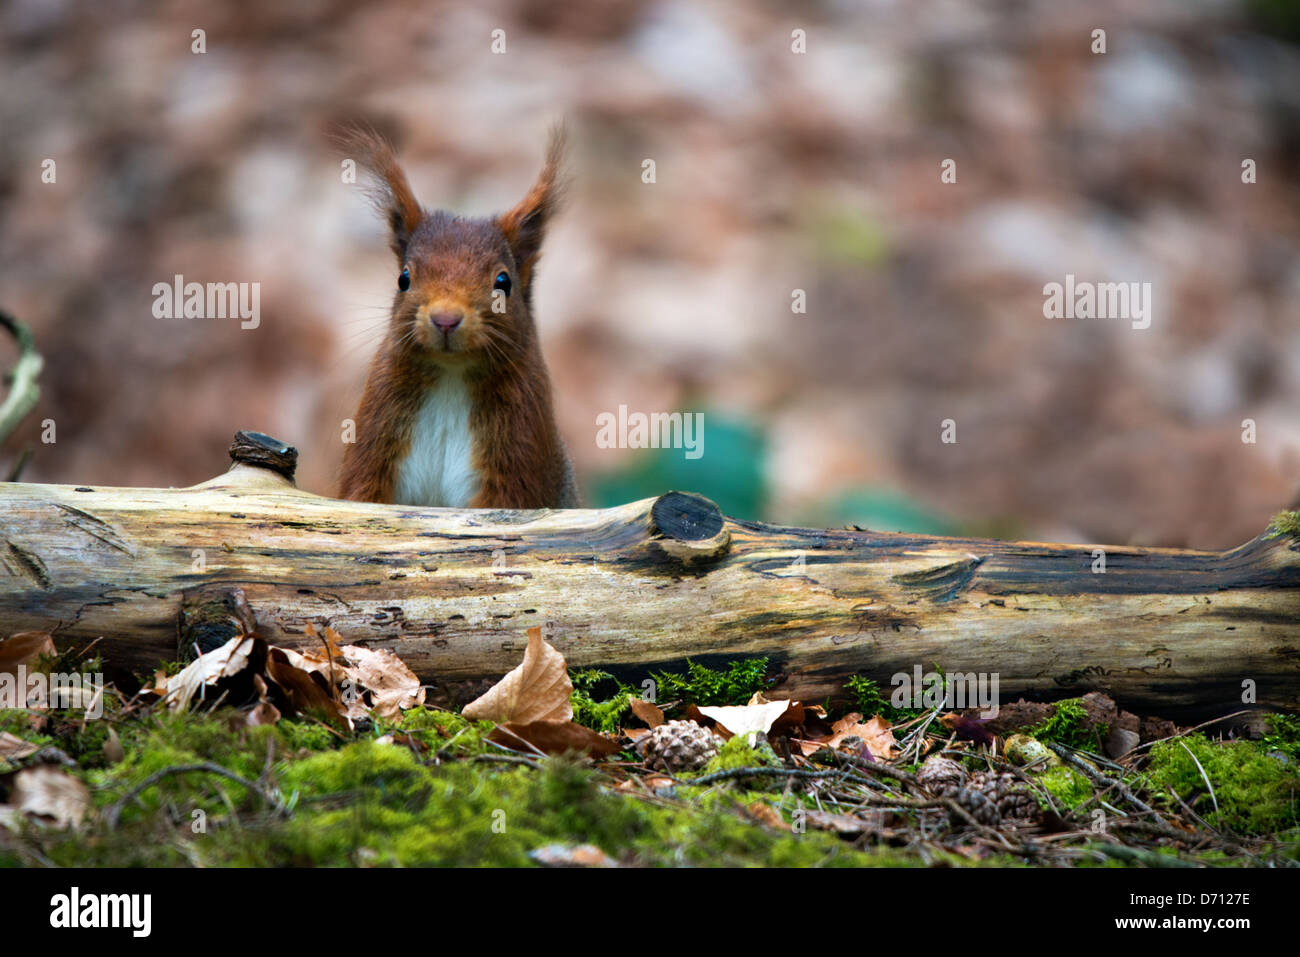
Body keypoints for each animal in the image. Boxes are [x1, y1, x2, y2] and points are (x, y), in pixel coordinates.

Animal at [337, 126, 579, 510]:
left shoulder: (520, 453)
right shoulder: (376, 437)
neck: (451, 375)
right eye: (403, 278)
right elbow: (361, 495)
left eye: (503, 282)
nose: (446, 319)